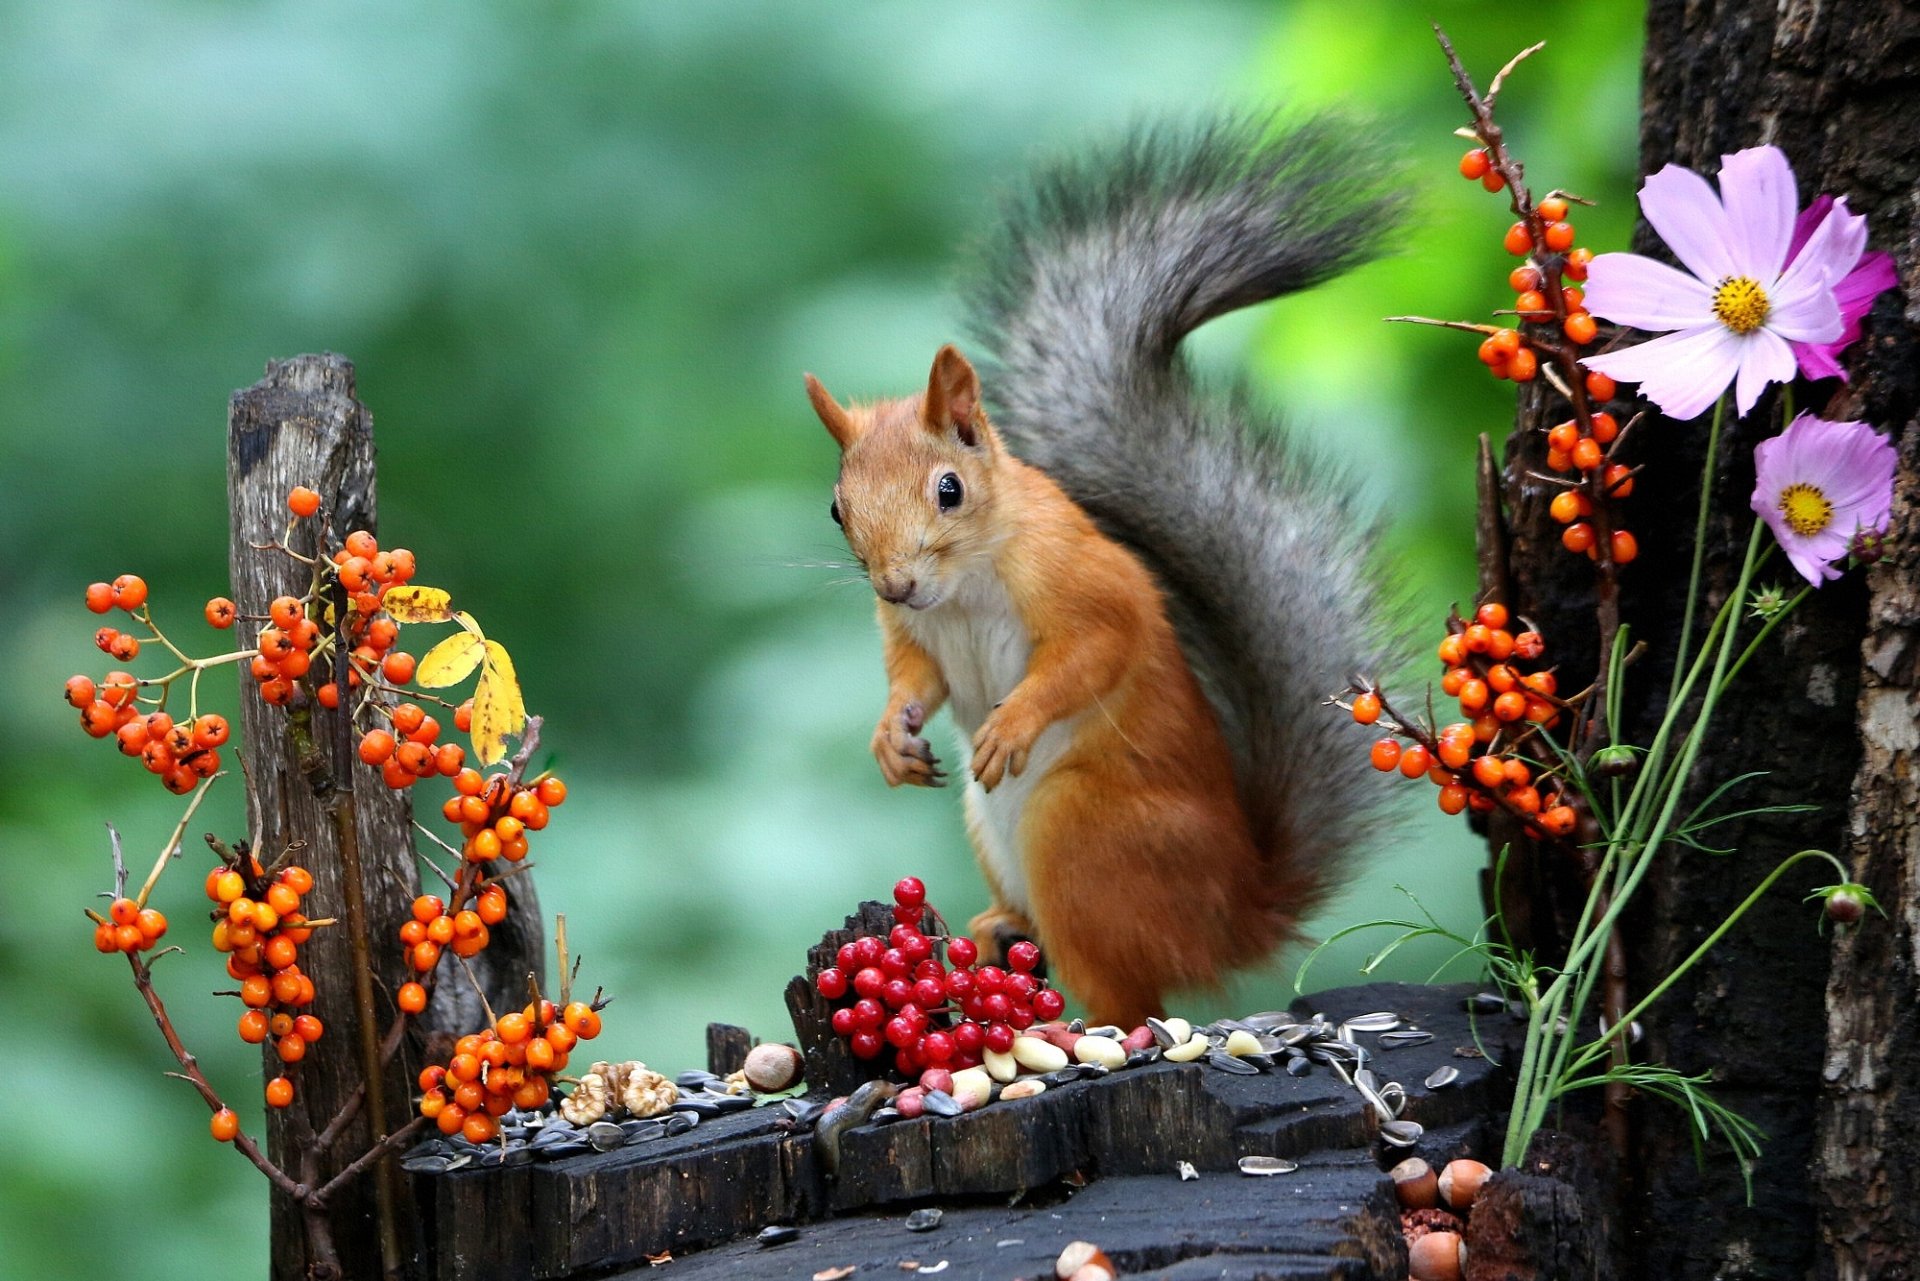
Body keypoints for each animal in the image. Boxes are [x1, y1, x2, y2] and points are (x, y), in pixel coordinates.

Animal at [802, 118, 1395, 1027]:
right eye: (838, 509)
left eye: (949, 489)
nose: (895, 585)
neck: (963, 588)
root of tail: (1236, 912)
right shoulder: (915, 632)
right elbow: (916, 676)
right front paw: (890, 737)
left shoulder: (1082, 579)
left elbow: (1094, 650)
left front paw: (1011, 723)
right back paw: (998, 925)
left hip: (1080, 835)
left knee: (1132, 995)